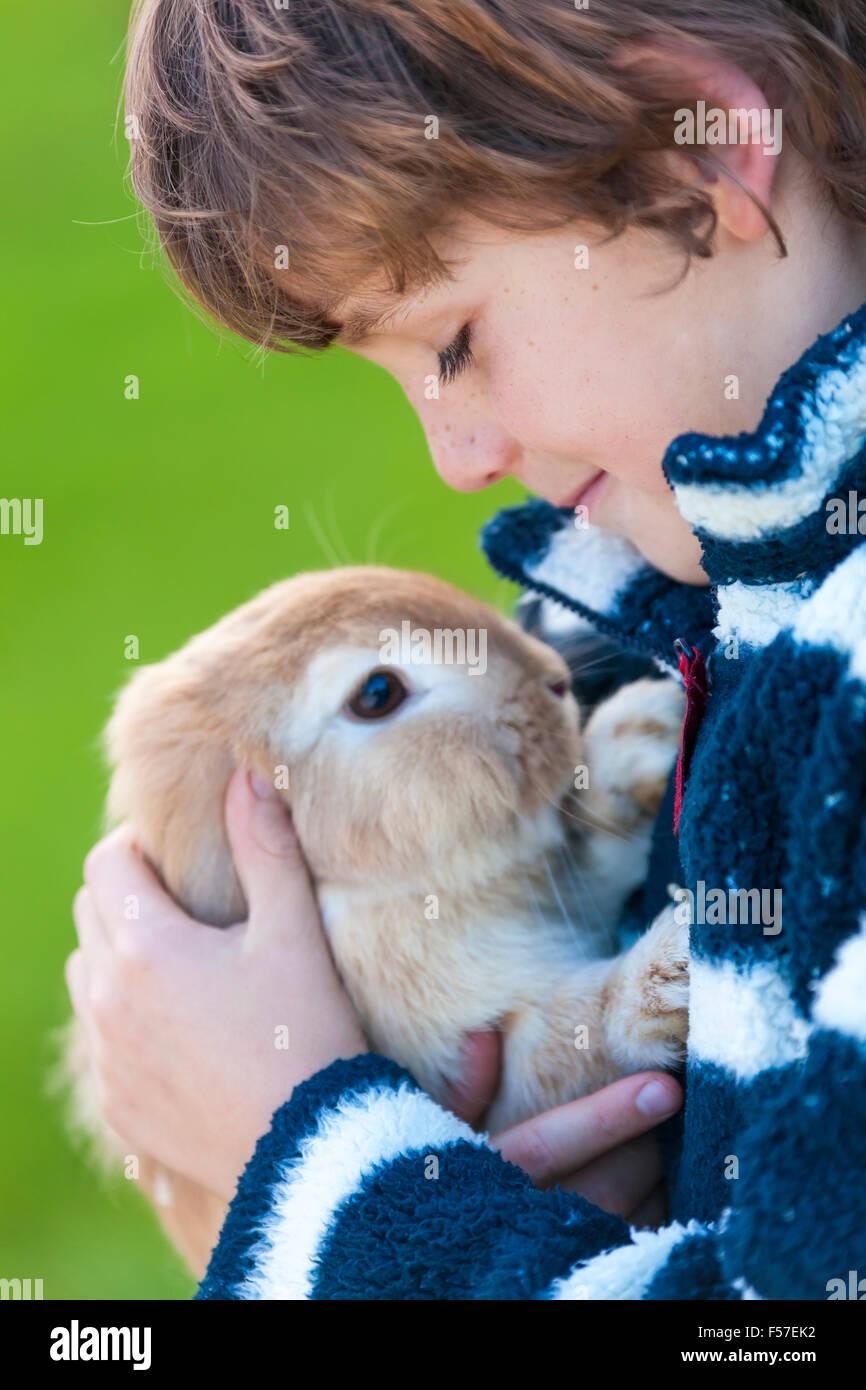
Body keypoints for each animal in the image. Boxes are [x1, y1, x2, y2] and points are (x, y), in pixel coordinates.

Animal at [65, 565, 688, 1277]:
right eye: (377, 693)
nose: (556, 679)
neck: (382, 890)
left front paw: (641, 737)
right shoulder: (473, 1065)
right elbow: (574, 1037)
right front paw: (667, 978)